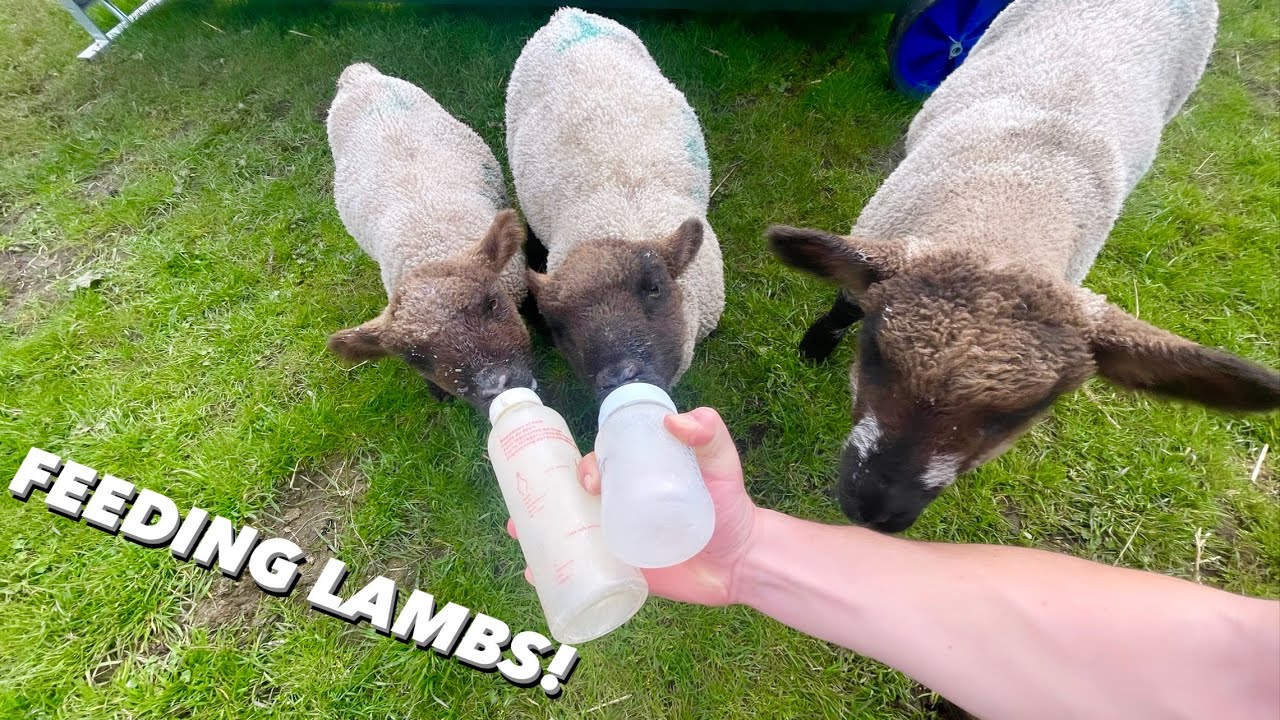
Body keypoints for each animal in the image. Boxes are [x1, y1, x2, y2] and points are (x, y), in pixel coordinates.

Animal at [767, 0, 1280, 532]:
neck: (1016, 204)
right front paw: (814, 348)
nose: (875, 508)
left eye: (1023, 413)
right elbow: (847, 300)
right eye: (875, 354)